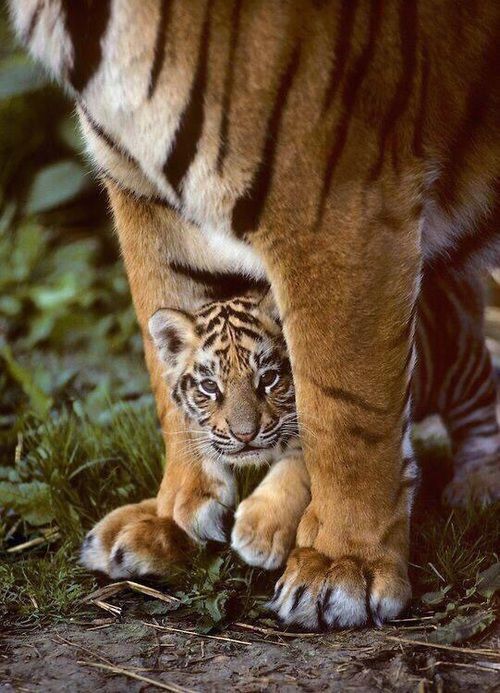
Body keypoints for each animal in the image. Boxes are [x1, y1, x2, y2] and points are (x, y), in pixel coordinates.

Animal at [10, 0, 500, 630]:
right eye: (209, 387)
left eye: (268, 381)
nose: (242, 433)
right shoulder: (137, 185)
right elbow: (162, 364)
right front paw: (173, 516)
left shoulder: (335, 200)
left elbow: (343, 412)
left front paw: (341, 569)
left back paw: (477, 484)